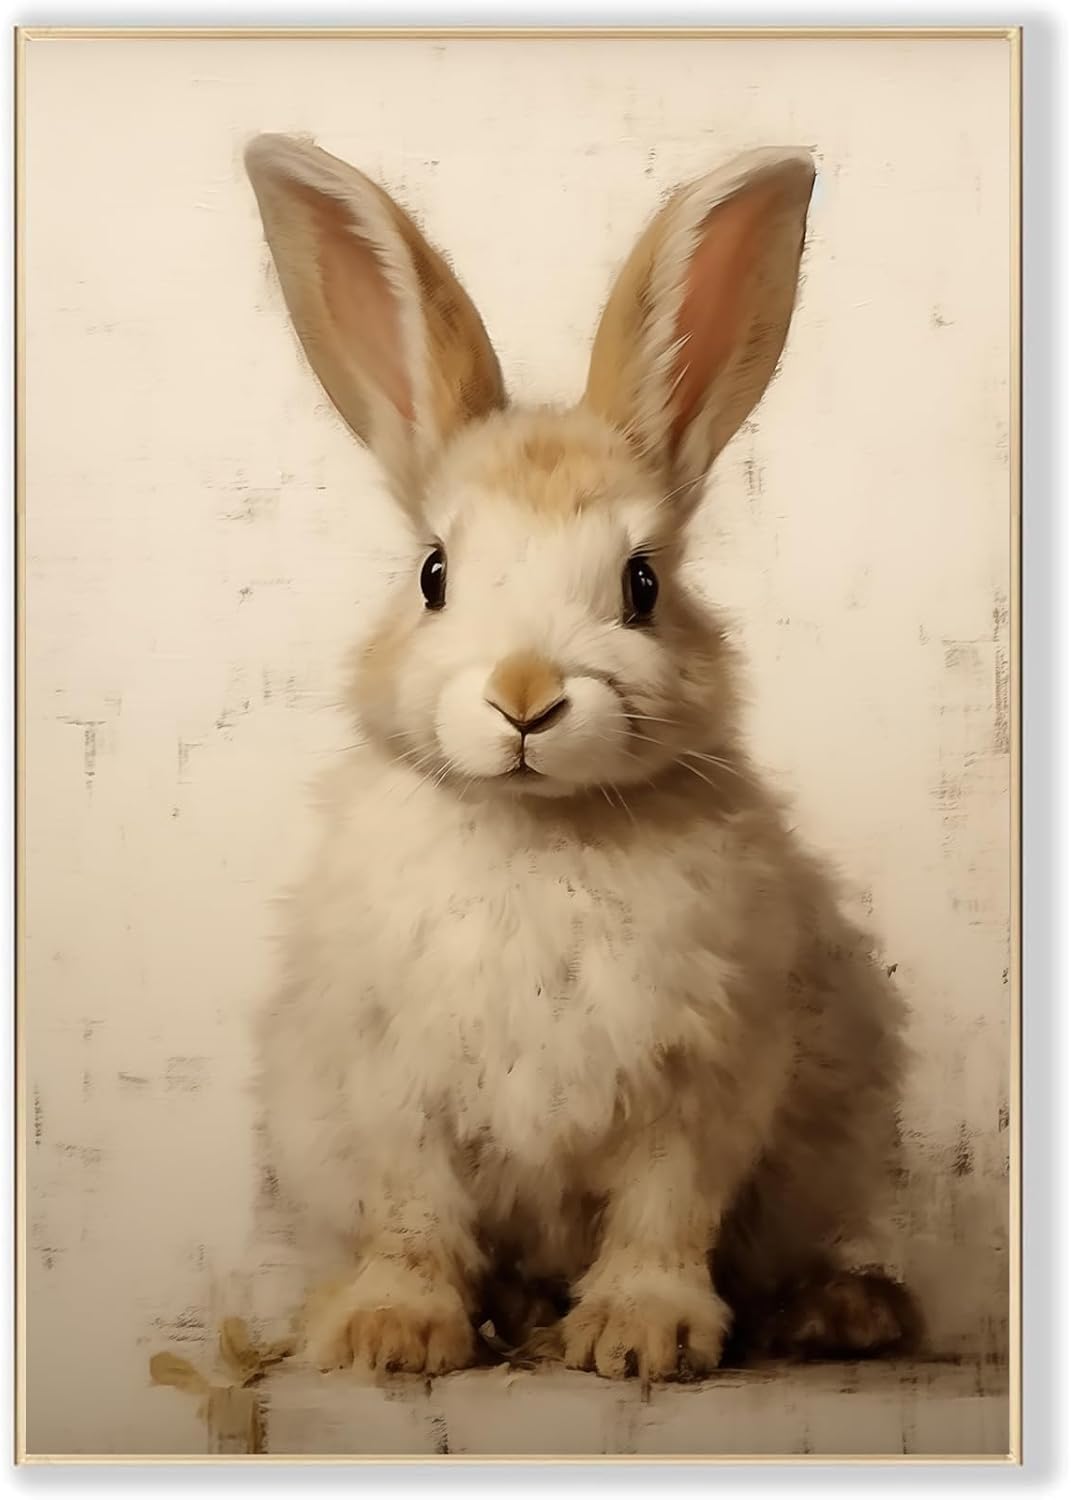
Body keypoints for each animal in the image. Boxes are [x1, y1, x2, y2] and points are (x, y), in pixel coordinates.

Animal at [244, 133, 918, 1382]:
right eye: (434, 574)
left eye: (641, 583)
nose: (525, 696)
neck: (541, 825)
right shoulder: (390, 1085)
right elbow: (412, 1214)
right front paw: (392, 1333)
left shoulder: (700, 1081)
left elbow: (666, 1211)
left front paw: (641, 1336)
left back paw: (835, 1312)